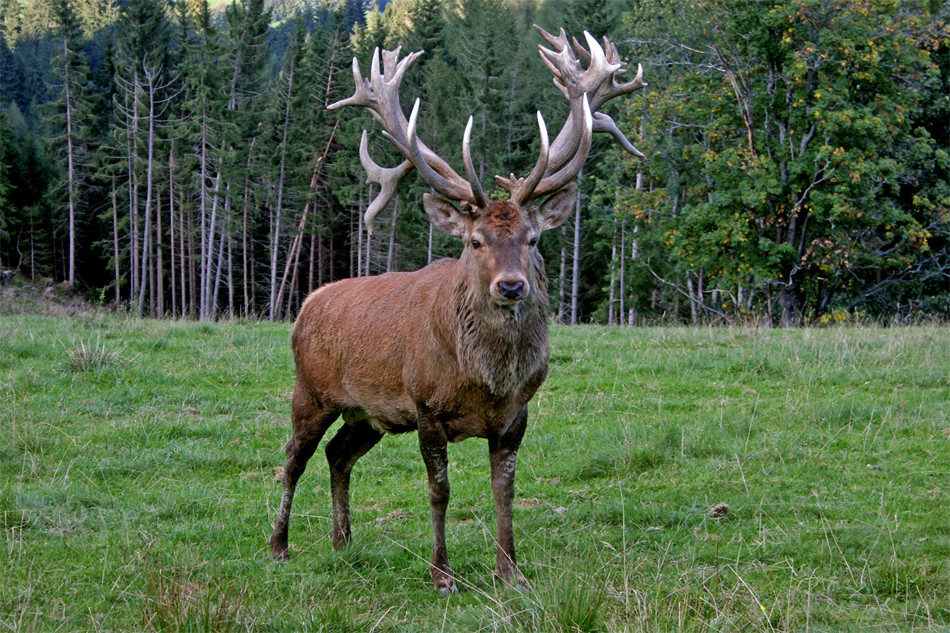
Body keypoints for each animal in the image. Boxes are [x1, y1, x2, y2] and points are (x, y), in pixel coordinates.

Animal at [269, 25, 645, 594]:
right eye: (474, 241)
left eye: (534, 238)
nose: (511, 286)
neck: (486, 380)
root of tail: (307, 304)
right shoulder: (425, 406)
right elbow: (439, 491)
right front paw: (442, 574)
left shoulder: (516, 414)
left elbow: (504, 491)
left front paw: (510, 571)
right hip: (311, 390)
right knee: (294, 457)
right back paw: (279, 546)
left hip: (371, 413)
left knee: (338, 454)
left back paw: (343, 542)